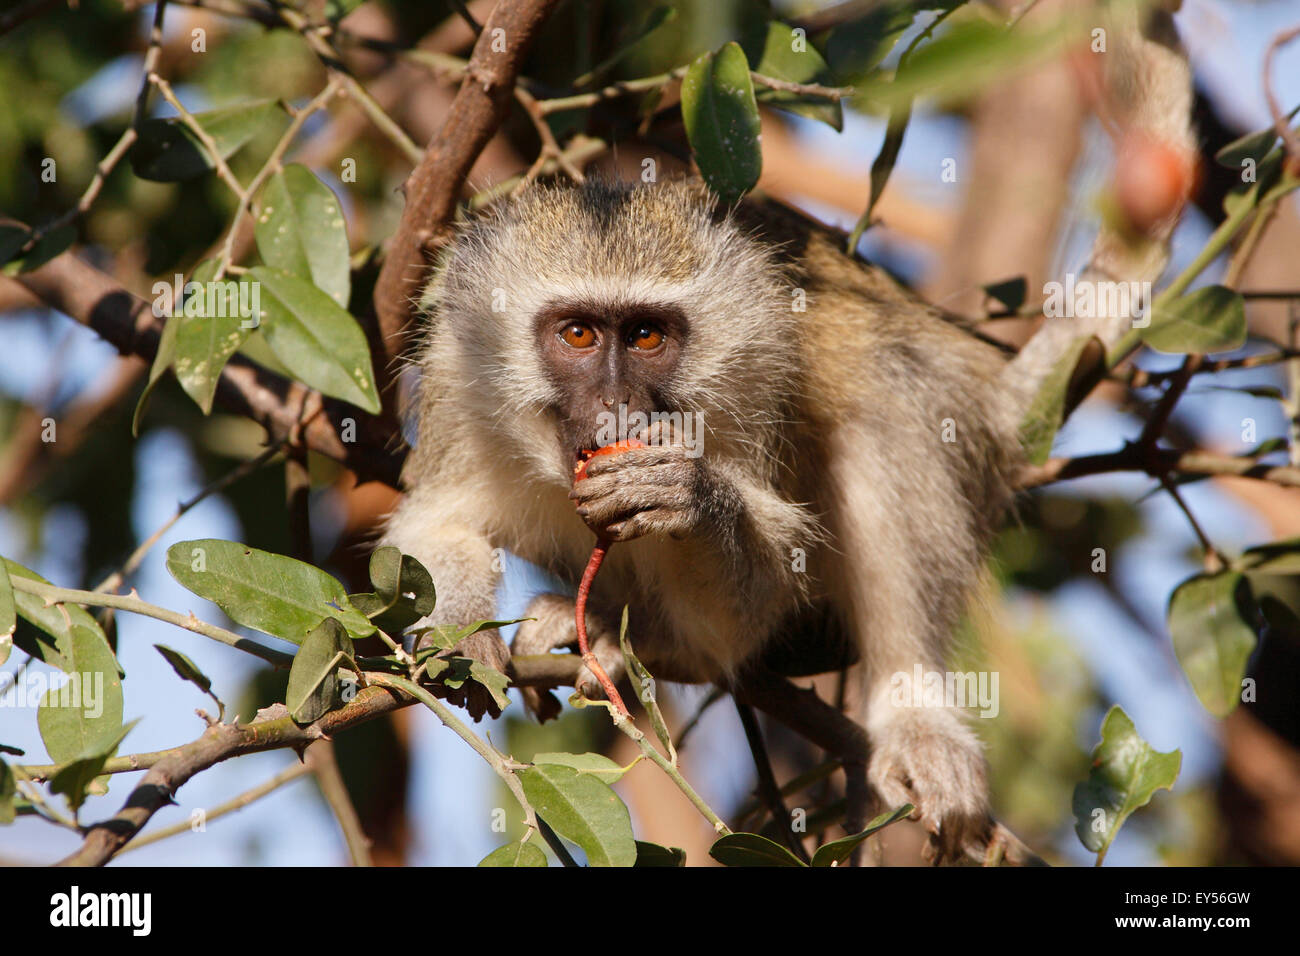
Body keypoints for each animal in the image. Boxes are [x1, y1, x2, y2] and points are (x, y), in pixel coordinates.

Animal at [381, 6, 1194, 862]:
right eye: (577, 335)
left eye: (645, 337)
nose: (617, 408)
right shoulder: (458, 388)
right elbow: (429, 527)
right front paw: (461, 628)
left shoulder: (753, 397)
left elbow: (739, 624)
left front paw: (689, 498)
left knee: (885, 408)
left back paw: (901, 707)